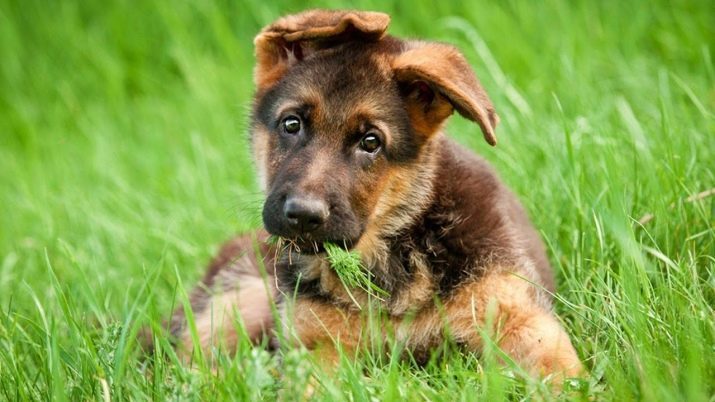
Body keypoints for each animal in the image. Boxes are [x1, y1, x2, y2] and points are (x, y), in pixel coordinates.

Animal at [168, 10, 580, 384]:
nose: (302, 215)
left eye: (371, 142)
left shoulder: (518, 316)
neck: (389, 254)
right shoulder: (314, 346)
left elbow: (566, 377)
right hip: (244, 297)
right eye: (291, 124)